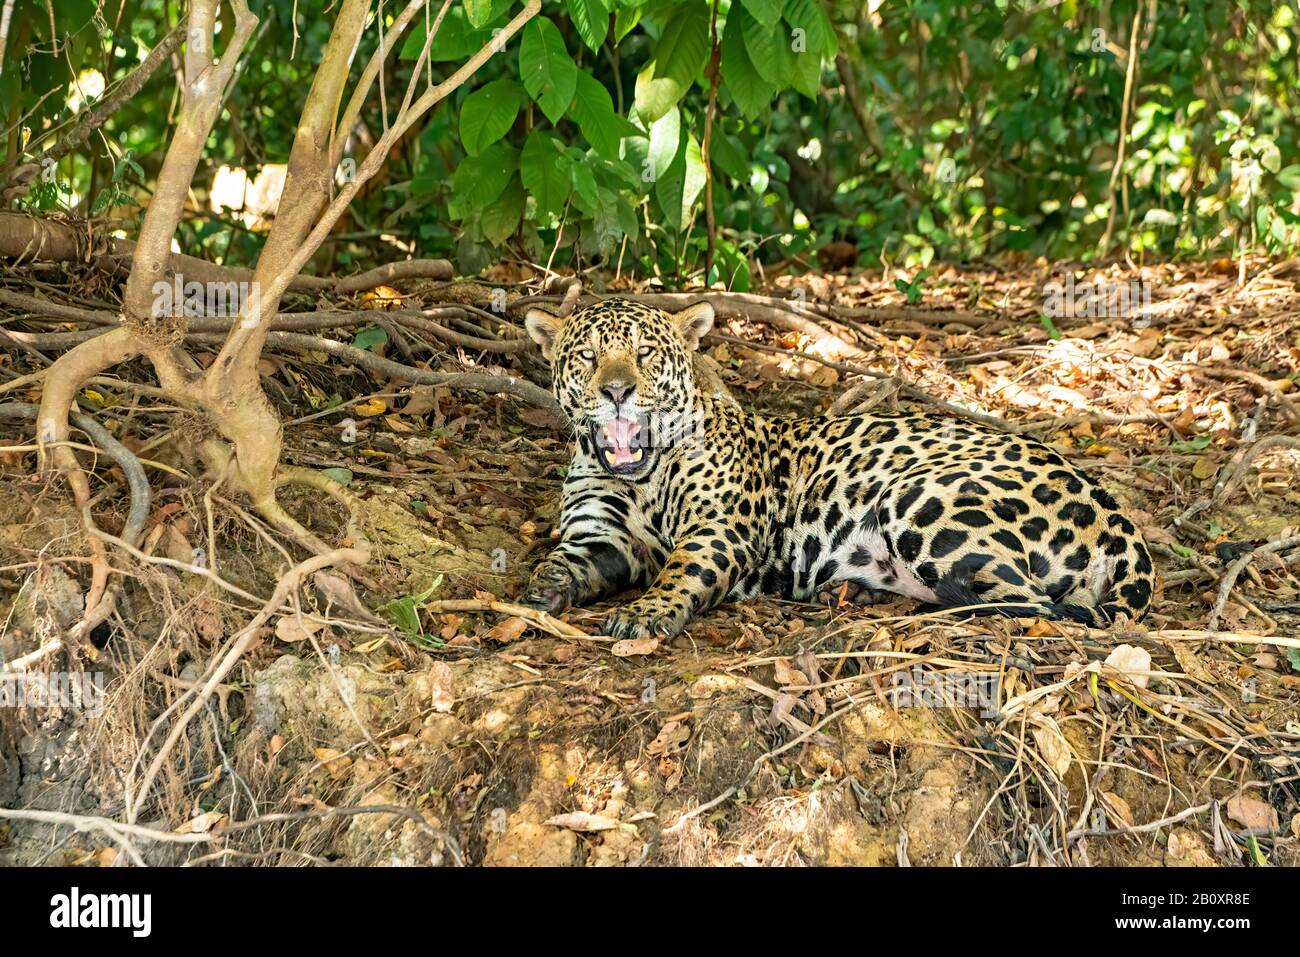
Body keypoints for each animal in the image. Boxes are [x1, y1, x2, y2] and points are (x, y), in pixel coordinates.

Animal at [519, 297, 1154, 641]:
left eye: (646, 354)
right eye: (588, 357)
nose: (617, 392)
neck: (642, 477)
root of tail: (1117, 513)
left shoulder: (719, 531)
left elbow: (680, 571)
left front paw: (645, 613)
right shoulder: (602, 537)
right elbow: (563, 563)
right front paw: (537, 593)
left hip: (919, 497)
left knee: (1026, 603)